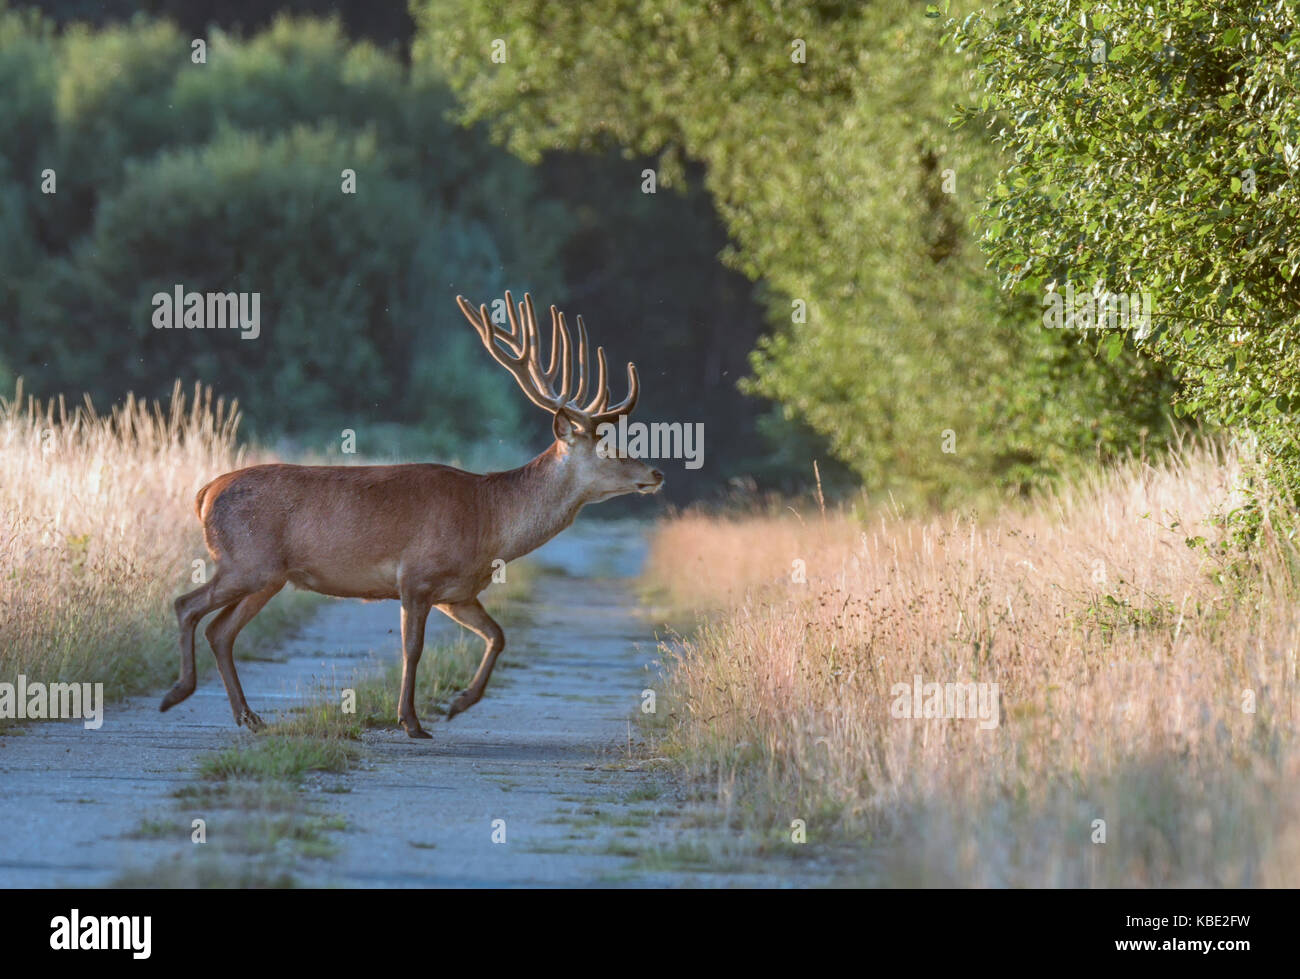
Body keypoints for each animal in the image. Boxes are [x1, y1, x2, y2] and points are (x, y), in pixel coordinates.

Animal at [159, 291, 663, 738]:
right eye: (607, 447)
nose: (656, 472)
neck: (489, 523)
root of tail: (205, 492)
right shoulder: (417, 577)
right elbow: (413, 649)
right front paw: (412, 722)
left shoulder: (457, 592)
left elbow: (498, 635)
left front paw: (460, 703)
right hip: (247, 562)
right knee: (187, 606)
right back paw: (177, 693)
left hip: (268, 576)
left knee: (220, 631)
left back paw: (249, 717)